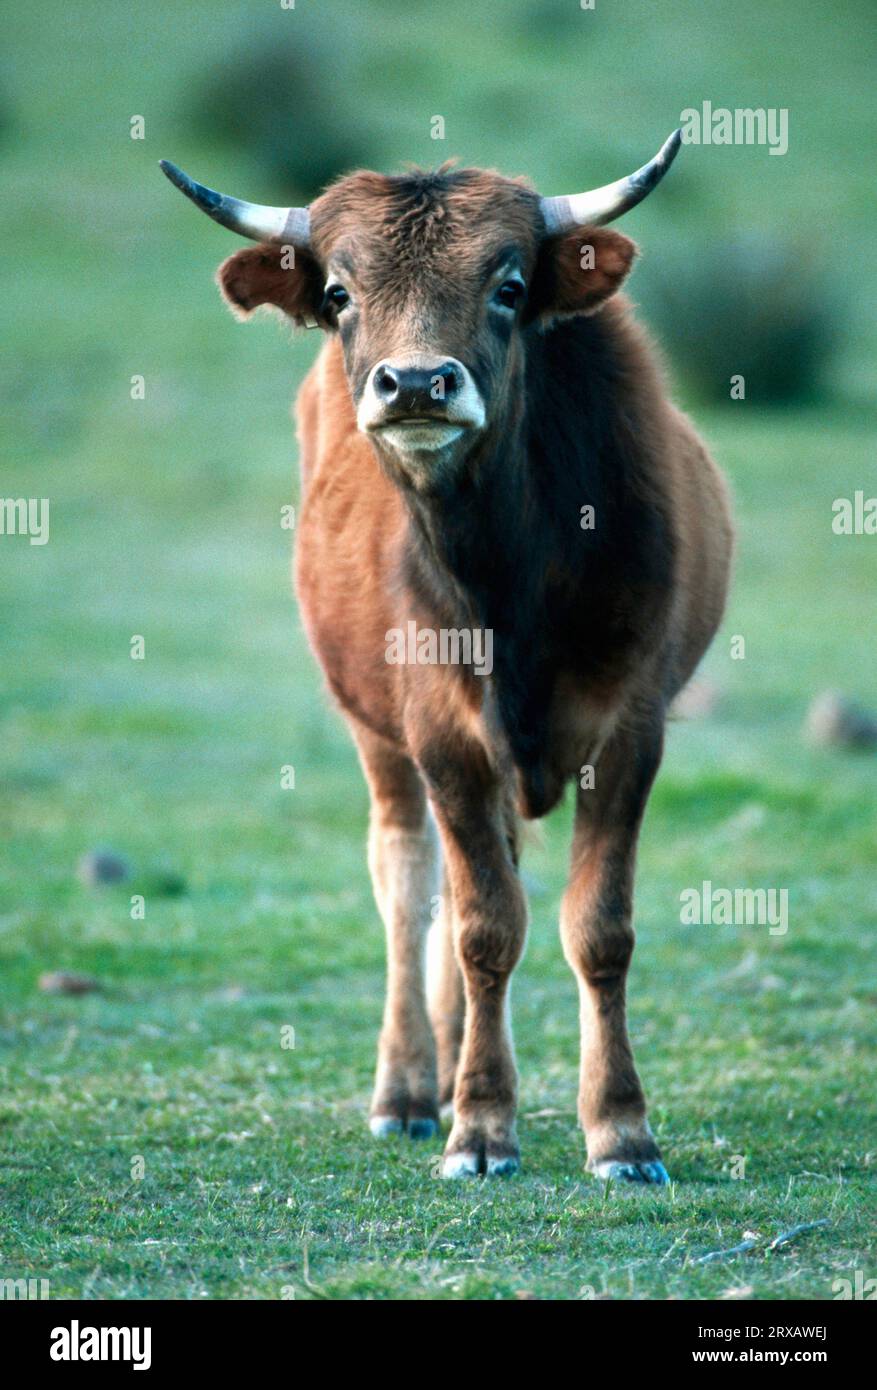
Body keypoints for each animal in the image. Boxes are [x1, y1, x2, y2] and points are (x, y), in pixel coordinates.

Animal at [161, 131, 733, 1181]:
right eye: (339, 290)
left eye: (507, 285)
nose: (417, 384)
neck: (506, 585)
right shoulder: (442, 737)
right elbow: (480, 926)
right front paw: (479, 1128)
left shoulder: (629, 732)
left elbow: (597, 929)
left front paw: (620, 1131)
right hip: (376, 737)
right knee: (408, 883)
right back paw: (408, 1090)